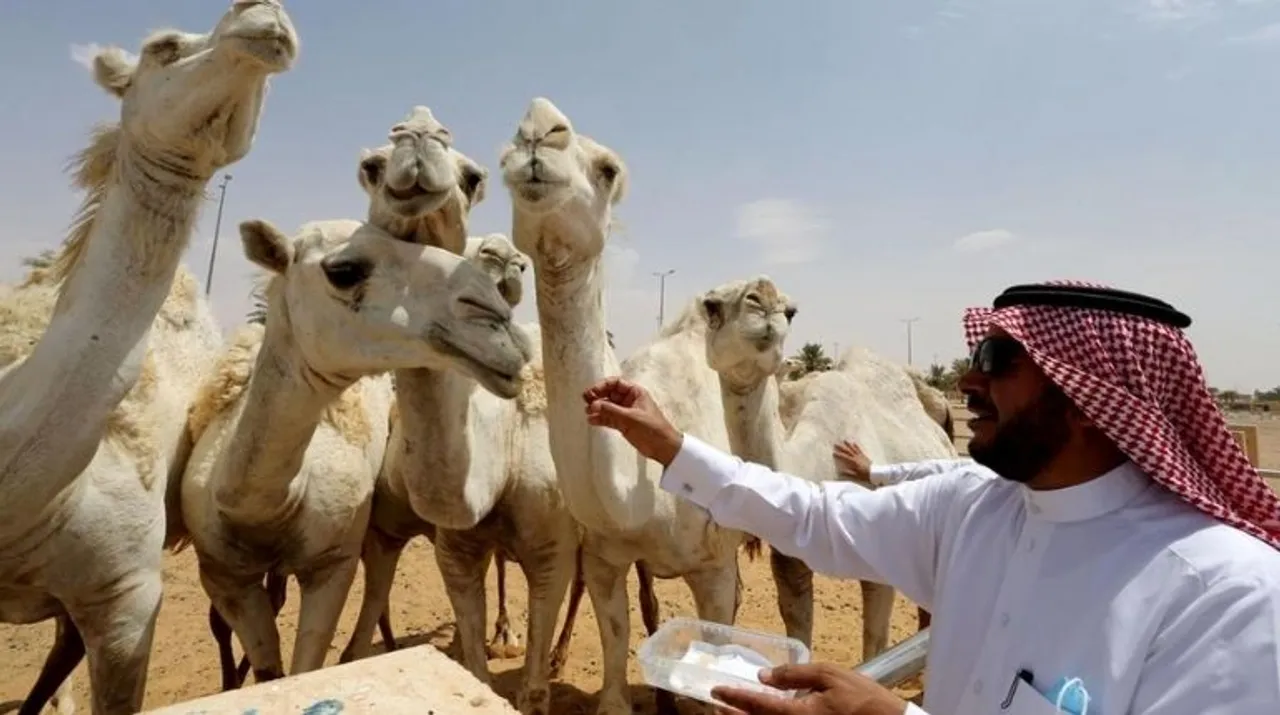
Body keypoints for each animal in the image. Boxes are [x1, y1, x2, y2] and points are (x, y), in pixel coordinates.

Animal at [176, 216, 532, 685]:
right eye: (344, 271)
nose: (498, 322)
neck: (260, 507)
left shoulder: (332, 565)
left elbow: (306, 663)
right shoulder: (224, 576)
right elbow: (268, 667)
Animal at [501, 97, 750, 715]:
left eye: (609, 169)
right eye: (505, 153)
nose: (539, 129)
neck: (638, 493)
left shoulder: (714, 567)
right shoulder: (606, 557)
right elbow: (616, 653)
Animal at [696, 277, 957, 660]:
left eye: (791, 311)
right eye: (711, 305)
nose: (761, 298)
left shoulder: (877, 560)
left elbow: (875, 644)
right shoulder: (789, 560)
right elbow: (797, 630)